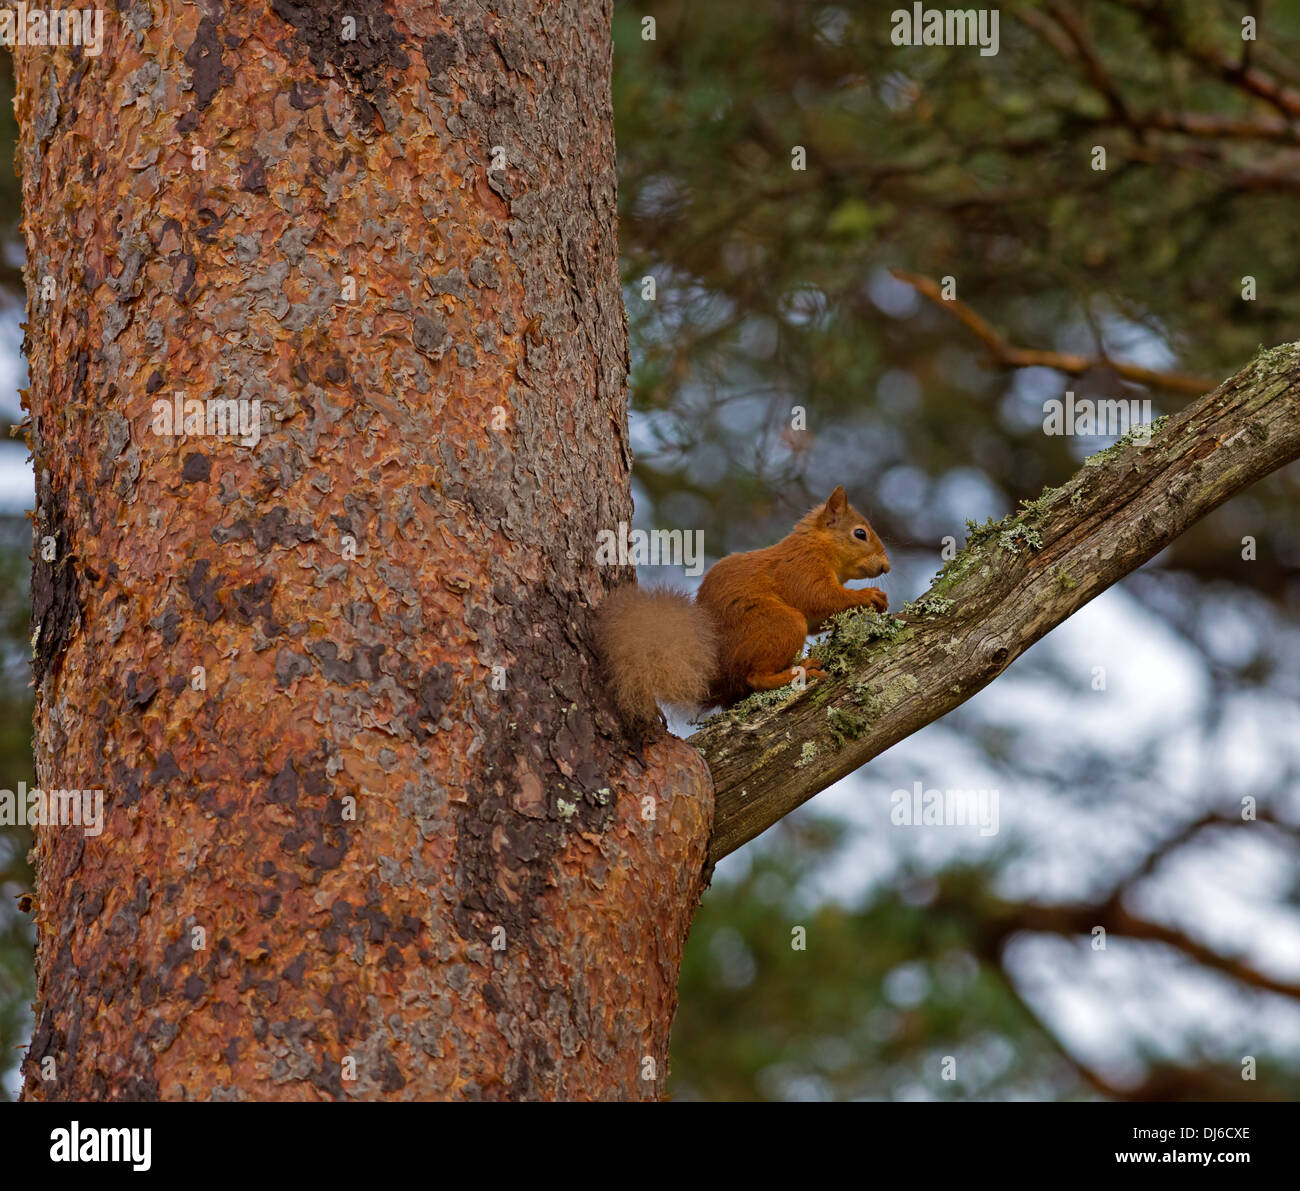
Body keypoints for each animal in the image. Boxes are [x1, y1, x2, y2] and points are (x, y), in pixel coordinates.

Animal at [594, 486, 890, 727]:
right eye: (860, 534)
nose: (886, 566)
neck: (819, 544)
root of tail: (715, 675)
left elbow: (819, 618)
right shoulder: (802, 567)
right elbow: (820, 598)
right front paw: (867, 595)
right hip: (781, 624)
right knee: (755, 677)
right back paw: (801, 670)